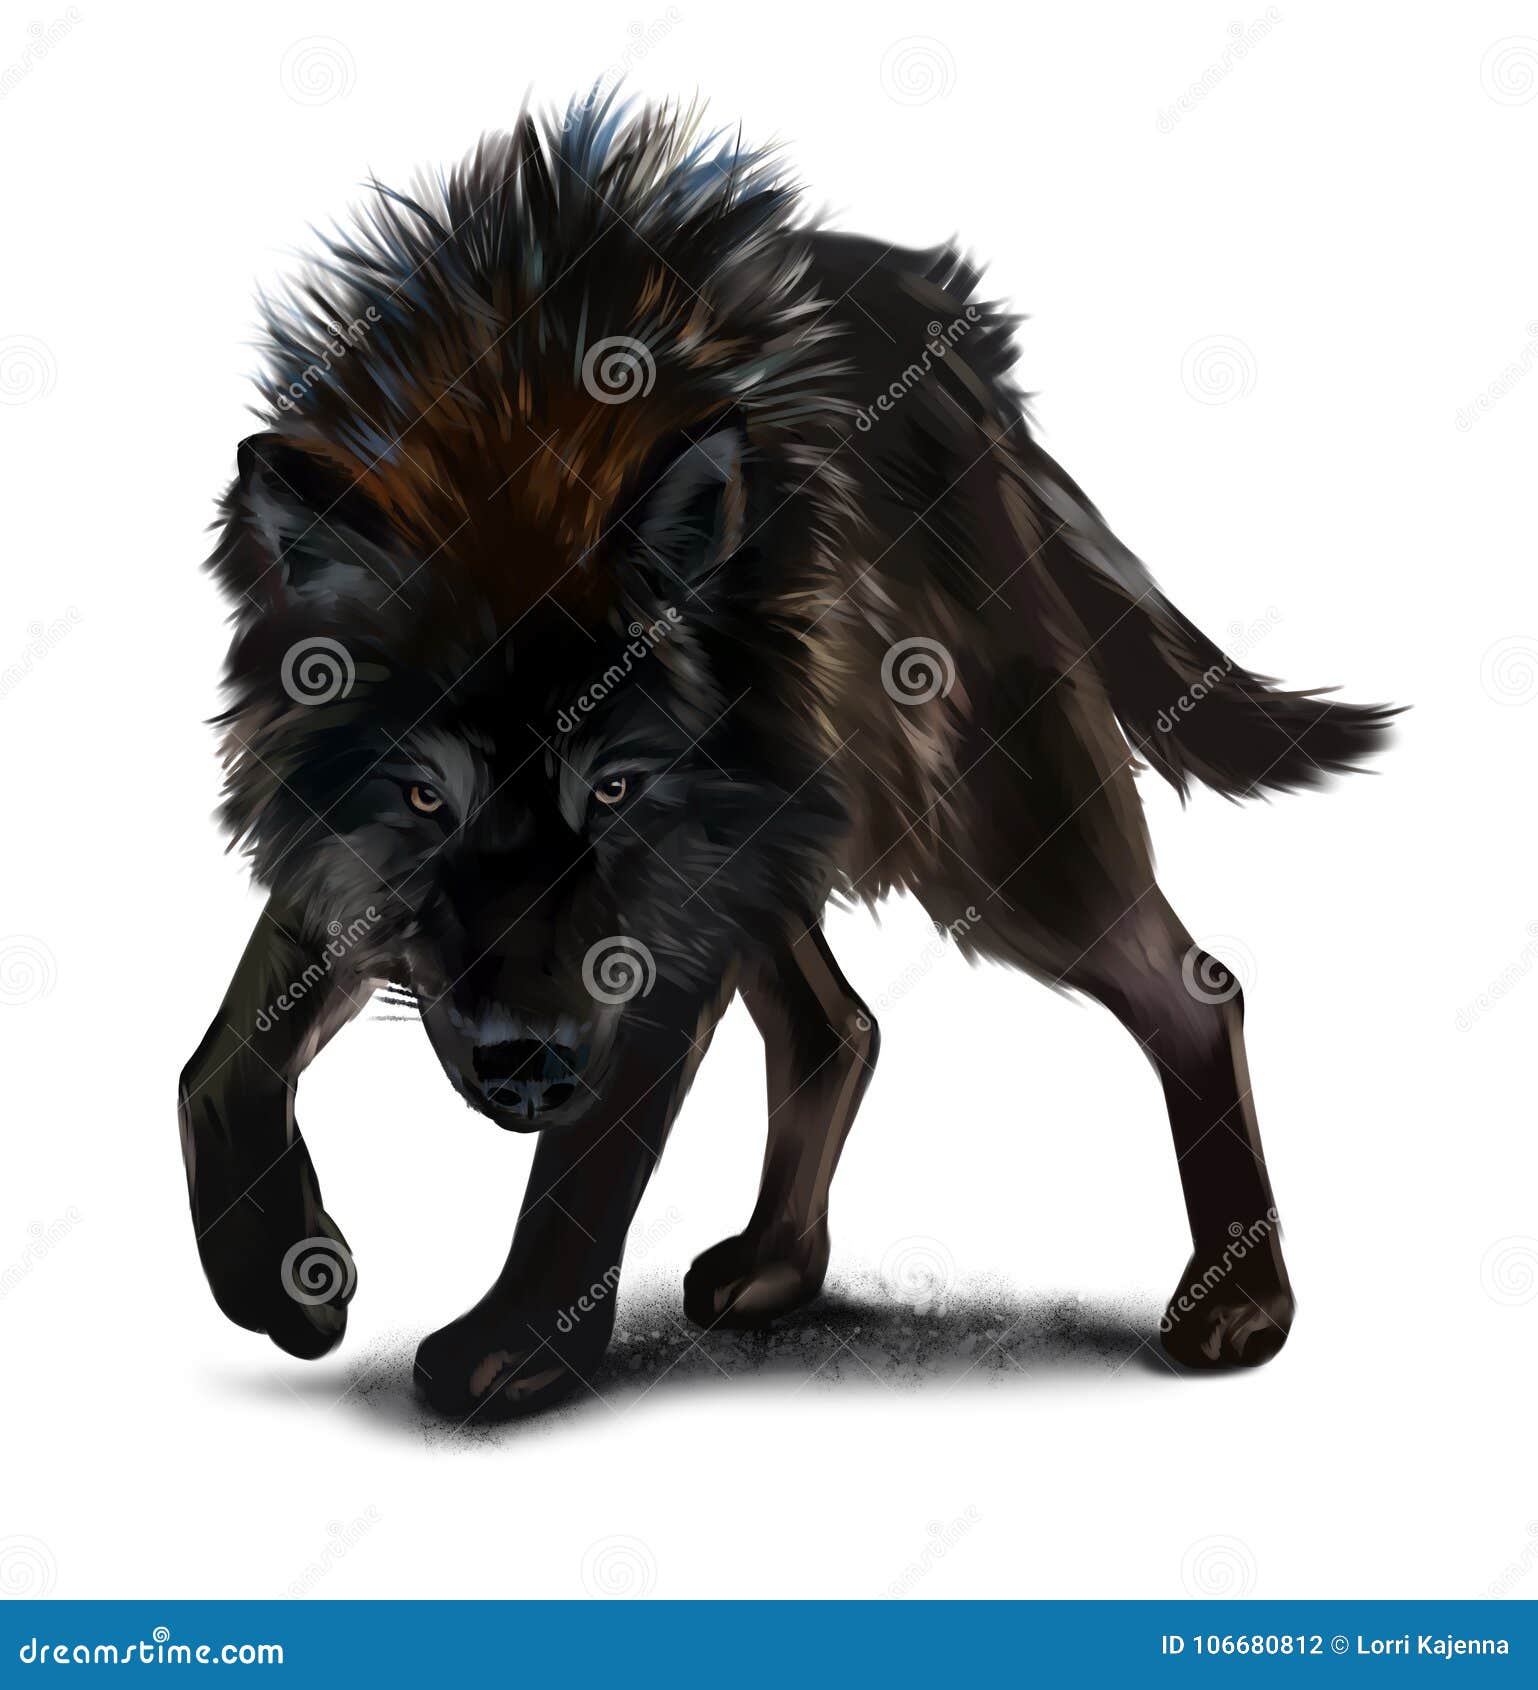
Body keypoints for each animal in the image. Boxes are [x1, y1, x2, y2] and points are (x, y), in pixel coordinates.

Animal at [178, 95, 1394, 1420]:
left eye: (614, 786)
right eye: (421, 796)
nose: (527, 1067)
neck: (520, 436)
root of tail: (962, 362)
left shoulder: (659, 912)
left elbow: (588, 1161)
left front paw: (515, 1345)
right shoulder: (347, 868)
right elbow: (217, 1066)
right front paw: (283, 1276)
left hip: (990, 835)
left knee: (1193, 990)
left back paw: (1241, 1304)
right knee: (839, 1027)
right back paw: (773, 1268)